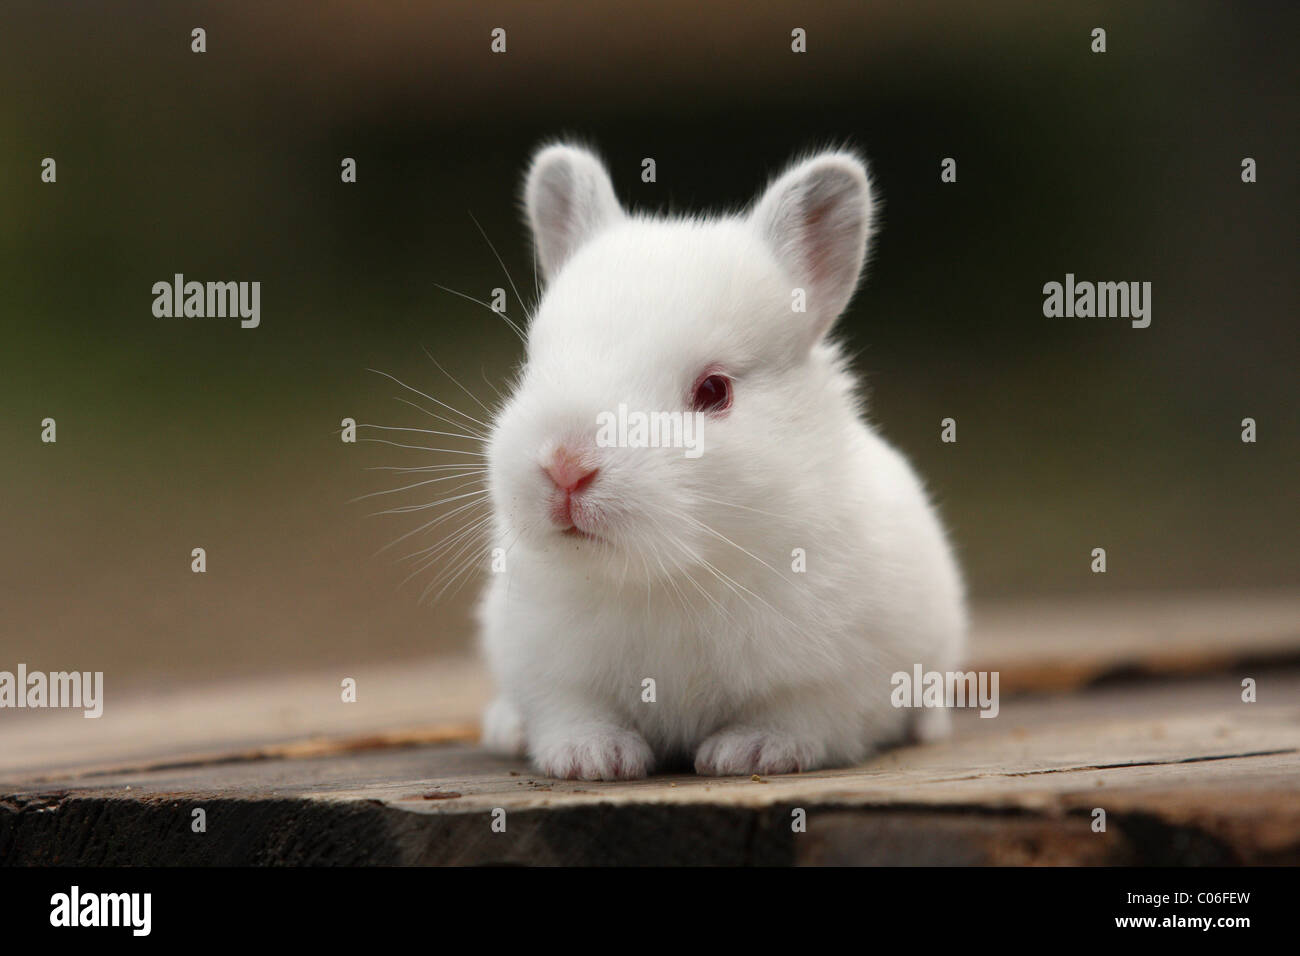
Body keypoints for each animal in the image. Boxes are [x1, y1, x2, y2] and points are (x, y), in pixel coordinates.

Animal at [477, 142, 966, 780]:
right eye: (532, 365)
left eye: (714, 391)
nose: (565, 466)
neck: (669, 577)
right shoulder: (546, 669)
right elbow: (570, 710)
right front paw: (593, 758)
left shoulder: (836, 684)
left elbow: (804, 718)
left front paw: (749, 751)